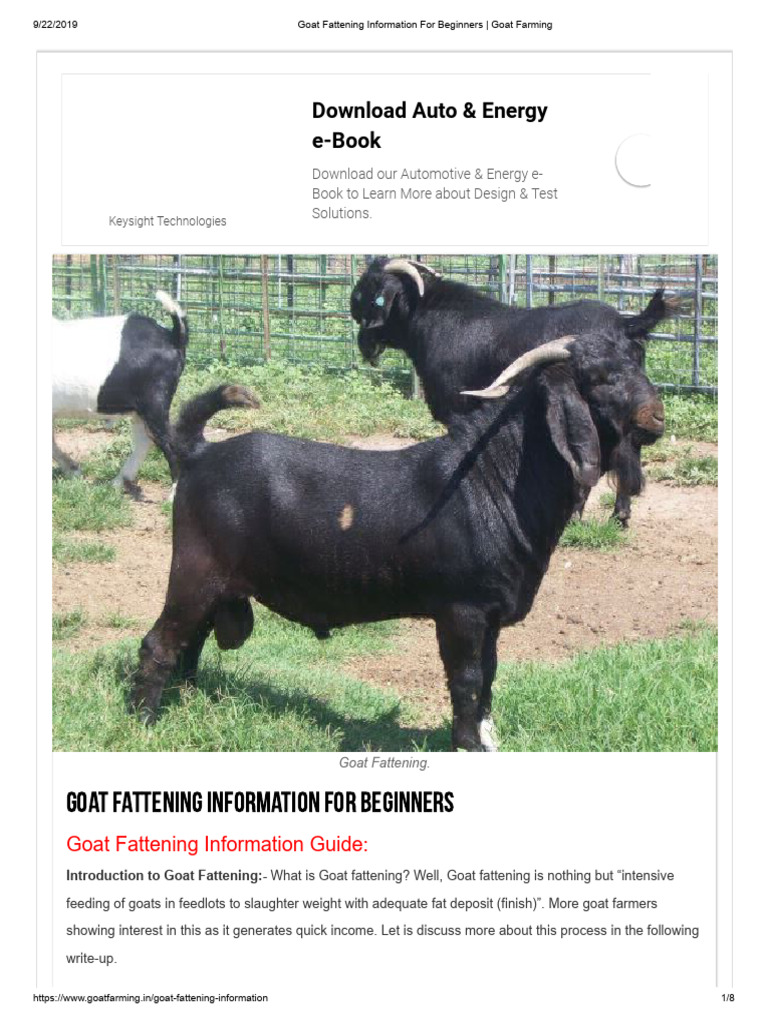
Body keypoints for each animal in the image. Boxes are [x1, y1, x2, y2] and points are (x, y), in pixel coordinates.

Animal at [52, 290, 188, 493]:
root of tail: (172, 336)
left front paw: (72, 469)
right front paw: (73, 470)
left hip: (154, 400)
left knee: (168, 442)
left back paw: (172, 493)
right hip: (142, 408)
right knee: (144, 440)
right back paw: (118, 481)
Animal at [130, 331, 665, 750]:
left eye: (637, 361)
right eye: (597, 376)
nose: (656, 415)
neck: (495, 479)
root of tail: (198, 453)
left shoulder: (490, 614)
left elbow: (490, 675)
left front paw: (487, 736)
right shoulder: (461, 609)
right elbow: (468, 679)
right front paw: (468, 744)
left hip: (217, 584)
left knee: (193, 639)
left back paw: (191, 700)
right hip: (195, 569)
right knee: (160, 642)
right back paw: (144, 722)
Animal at [351, 258, 678, 525]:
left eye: (369, 287)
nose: (362, 339)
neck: (431, 317)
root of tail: (627, 323)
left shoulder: (458, 407)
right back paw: (618, 515)